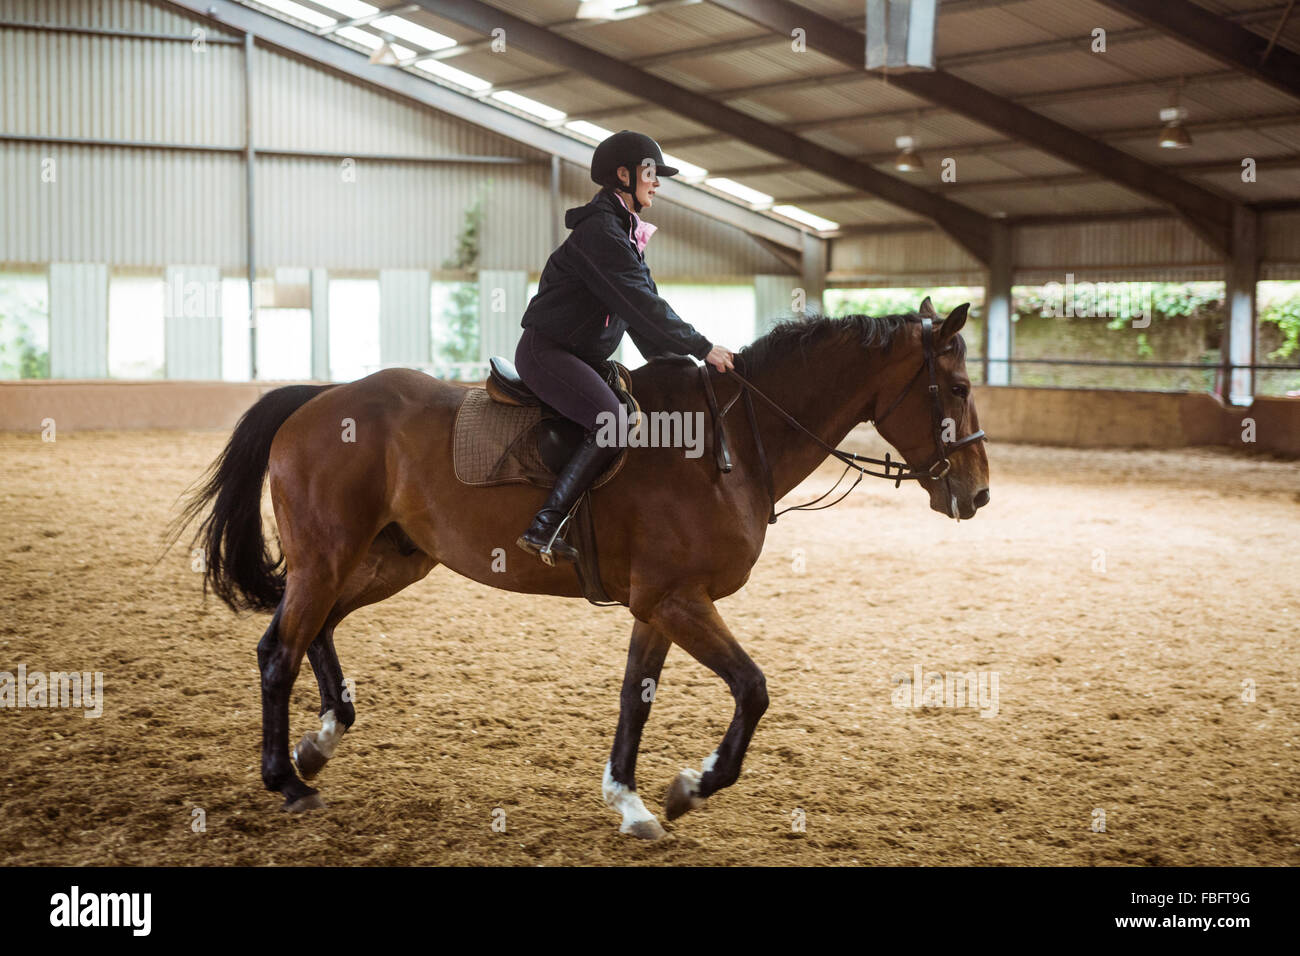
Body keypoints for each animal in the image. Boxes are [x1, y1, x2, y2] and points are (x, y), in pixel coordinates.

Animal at [171, 297, 989, 840]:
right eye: (955, 388)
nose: (977, 493)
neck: (729, 443)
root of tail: (316, 401)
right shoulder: (678, 600)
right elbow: (753, 690)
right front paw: (692, 786)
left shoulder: (660, 604)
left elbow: (637, 698)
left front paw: (630, 798)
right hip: (331, 556)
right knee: (278, 651)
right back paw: (287, 779)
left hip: (386, 560)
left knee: (313, 630)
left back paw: (320, 742)